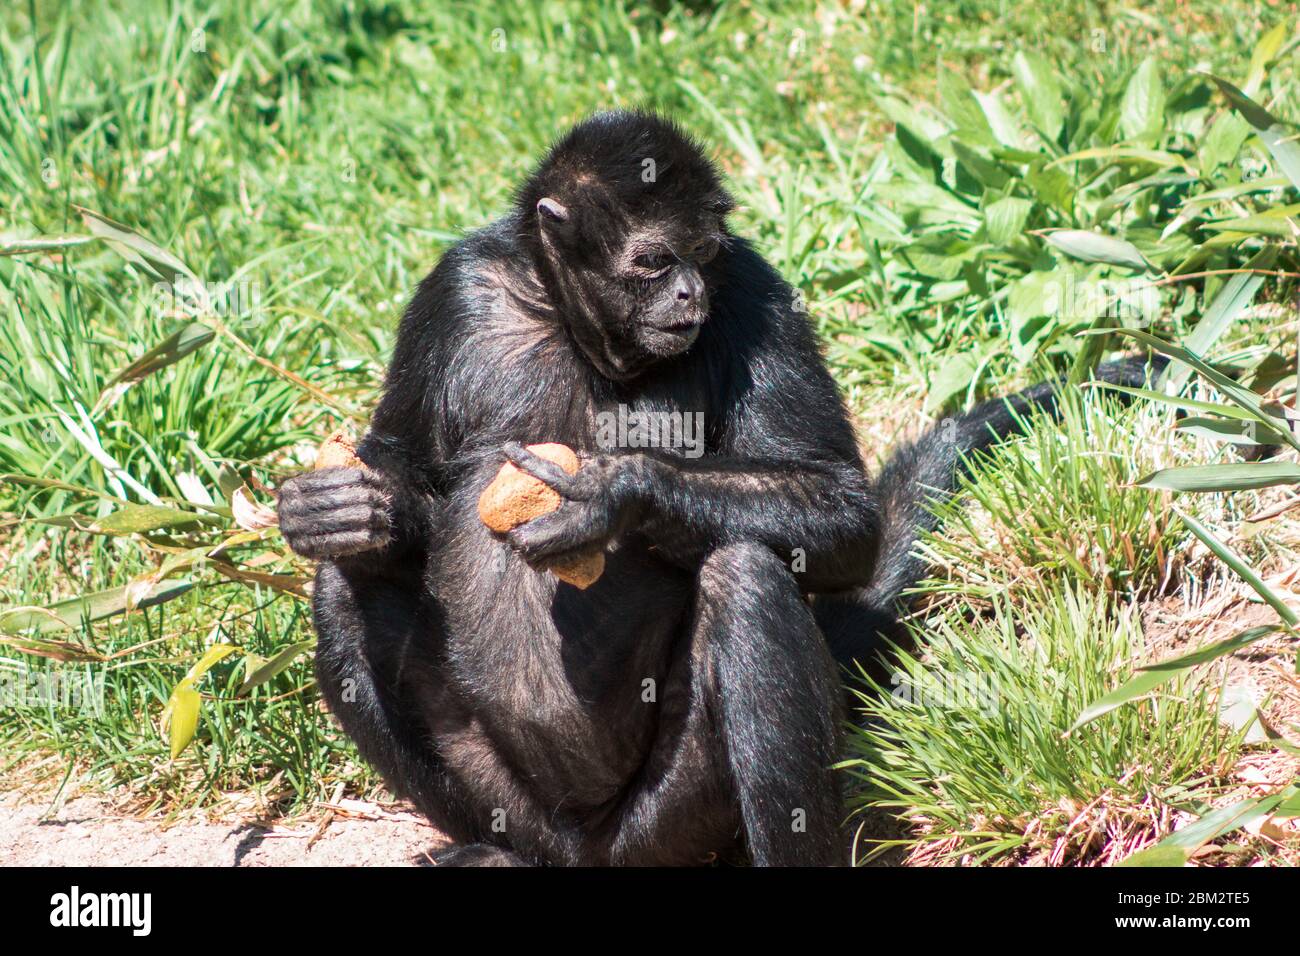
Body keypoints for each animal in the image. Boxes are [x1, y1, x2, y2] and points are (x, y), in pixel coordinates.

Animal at [277, 111, 1155, 866]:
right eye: (654, 263)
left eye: (702, 255)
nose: (690, 295)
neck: (584, 339)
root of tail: (590, 849)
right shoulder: (456, 288)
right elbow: (400, 466)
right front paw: (354, 507)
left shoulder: (753, 290)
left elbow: (840, 508)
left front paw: (615, 493)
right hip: (510, 801)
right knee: (343, 587)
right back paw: (496, 851)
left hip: (670, 822)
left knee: (747, 577)